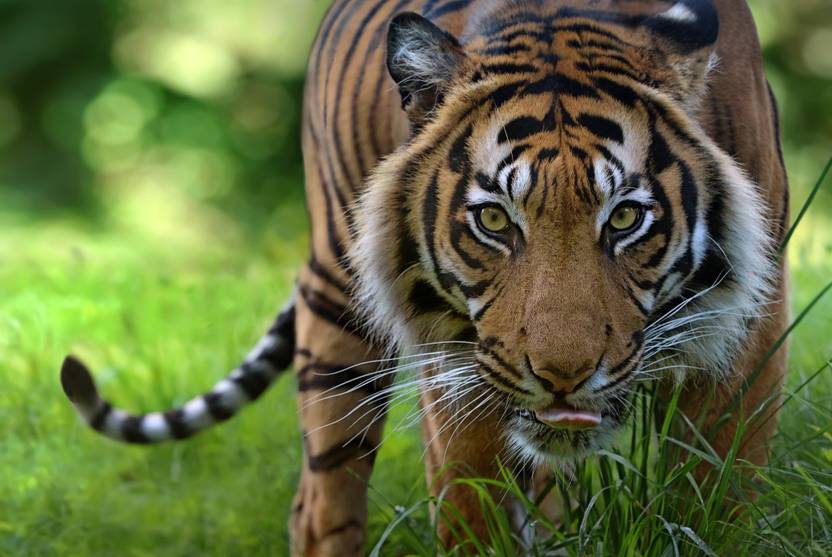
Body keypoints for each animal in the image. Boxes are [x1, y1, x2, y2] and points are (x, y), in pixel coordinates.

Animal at [59, 0, 790, 554]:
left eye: (626, 218)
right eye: (494, 219)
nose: (563, 375)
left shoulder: (749, 330)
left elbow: (713, 496)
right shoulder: (457, 368)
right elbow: (474, 510)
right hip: (336, 315)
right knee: (321, 502)